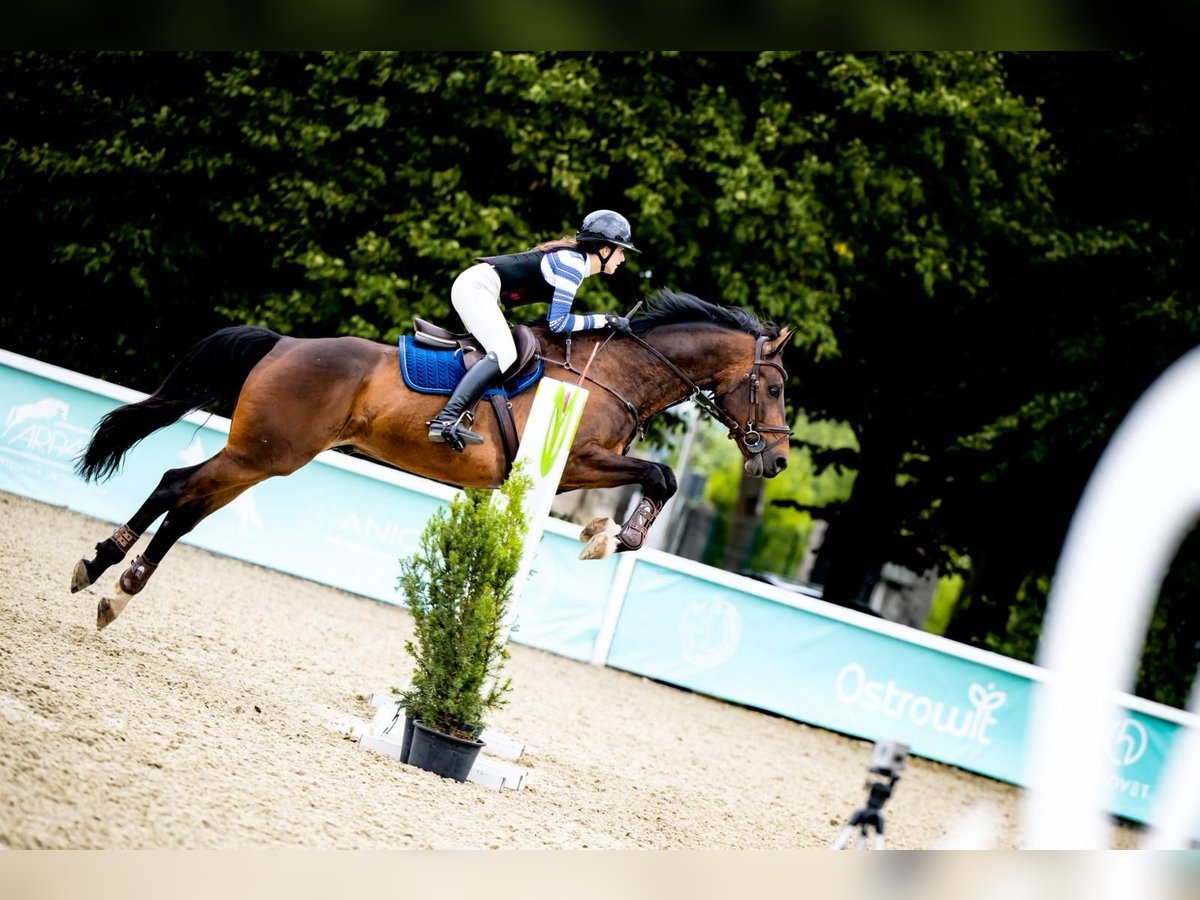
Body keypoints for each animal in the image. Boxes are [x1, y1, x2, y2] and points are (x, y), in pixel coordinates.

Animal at [70, 289, 794, 629]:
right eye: (776, 388)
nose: (780, 462)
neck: (613, 373)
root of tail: (282, 345)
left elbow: (657, 476)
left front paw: (606, 533)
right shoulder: (577, 462)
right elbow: (662, 474)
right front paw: (609, 536)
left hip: (264, 456)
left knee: (187, 503)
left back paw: (118, 586)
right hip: (266, 451)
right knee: (177, 487)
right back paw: (101, 567)